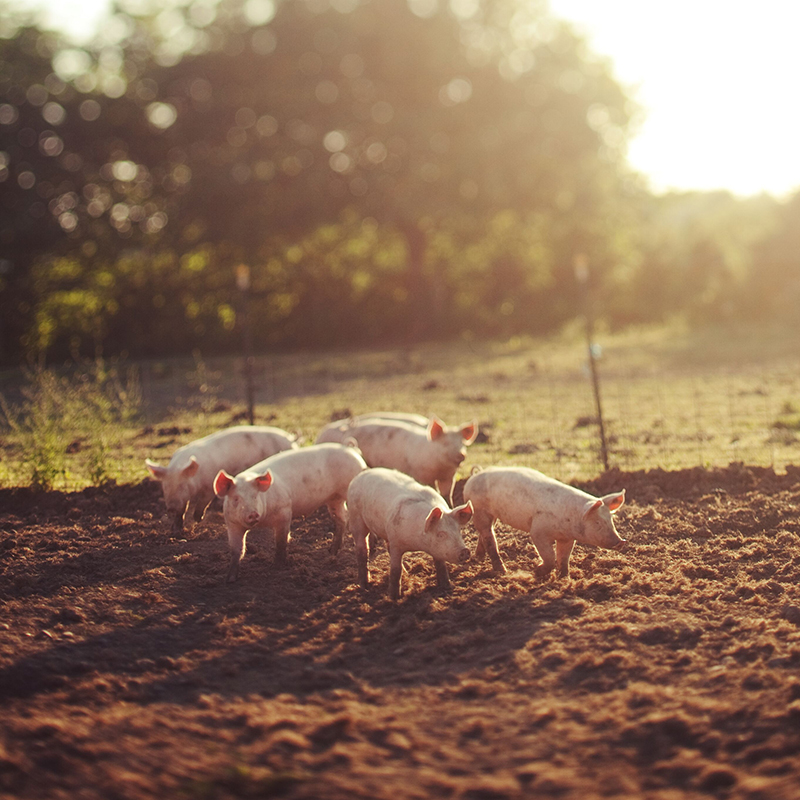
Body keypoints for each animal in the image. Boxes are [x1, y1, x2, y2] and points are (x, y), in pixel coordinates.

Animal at [145, 425, 298, 532]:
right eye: (165, 486)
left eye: (182, 485)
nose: (170, 508)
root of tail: (291, 439)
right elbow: (182, 510)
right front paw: (176, 530)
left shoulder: (209, 486)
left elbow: (203, 502)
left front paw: (197, 519)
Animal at [213, 443, 367, 583]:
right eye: (236, 499)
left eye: (255, 496)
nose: (253, 514)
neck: (261, 523)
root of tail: (352, 451)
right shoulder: (232, 523)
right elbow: (236, 549)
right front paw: (230, 579)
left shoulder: (285, 510)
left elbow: (281, 540)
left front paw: (277, 566)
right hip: (334, 499)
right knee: (342, 517)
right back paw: (332, 551)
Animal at [315, 416, 478, 505]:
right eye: (445, 443)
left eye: (462, 443)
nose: (461, 455)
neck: (440, 467)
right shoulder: (421, 474)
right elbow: (433, 489)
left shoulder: (448, 477)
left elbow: (447, 493)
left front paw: (450, 505)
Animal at [347, 467, 473, 599]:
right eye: (440, 534)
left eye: (458, 530)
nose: (465, 551)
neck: (418, 543)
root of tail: (360, 476)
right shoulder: (396, 542)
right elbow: (395, 569)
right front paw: (394, 597)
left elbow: (440, 564)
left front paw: (448, 587)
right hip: (356, 517)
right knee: (361, 548)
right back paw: (364, 586)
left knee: (386, 546)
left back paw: (407, 572)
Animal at [462, 466, 626, 579]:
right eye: (597, 522)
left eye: (610, 520)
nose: (621, 541)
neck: (570, 518)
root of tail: (473, 476)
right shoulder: (538, 531)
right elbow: (549, 556)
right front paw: (536, 571)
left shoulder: (567, 538)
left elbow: (564, 557)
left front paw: (564, 577)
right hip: (479, 509)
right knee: (489, 536)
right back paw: (502, 571)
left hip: (491, 514)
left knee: (485, 533)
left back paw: (479, 557)